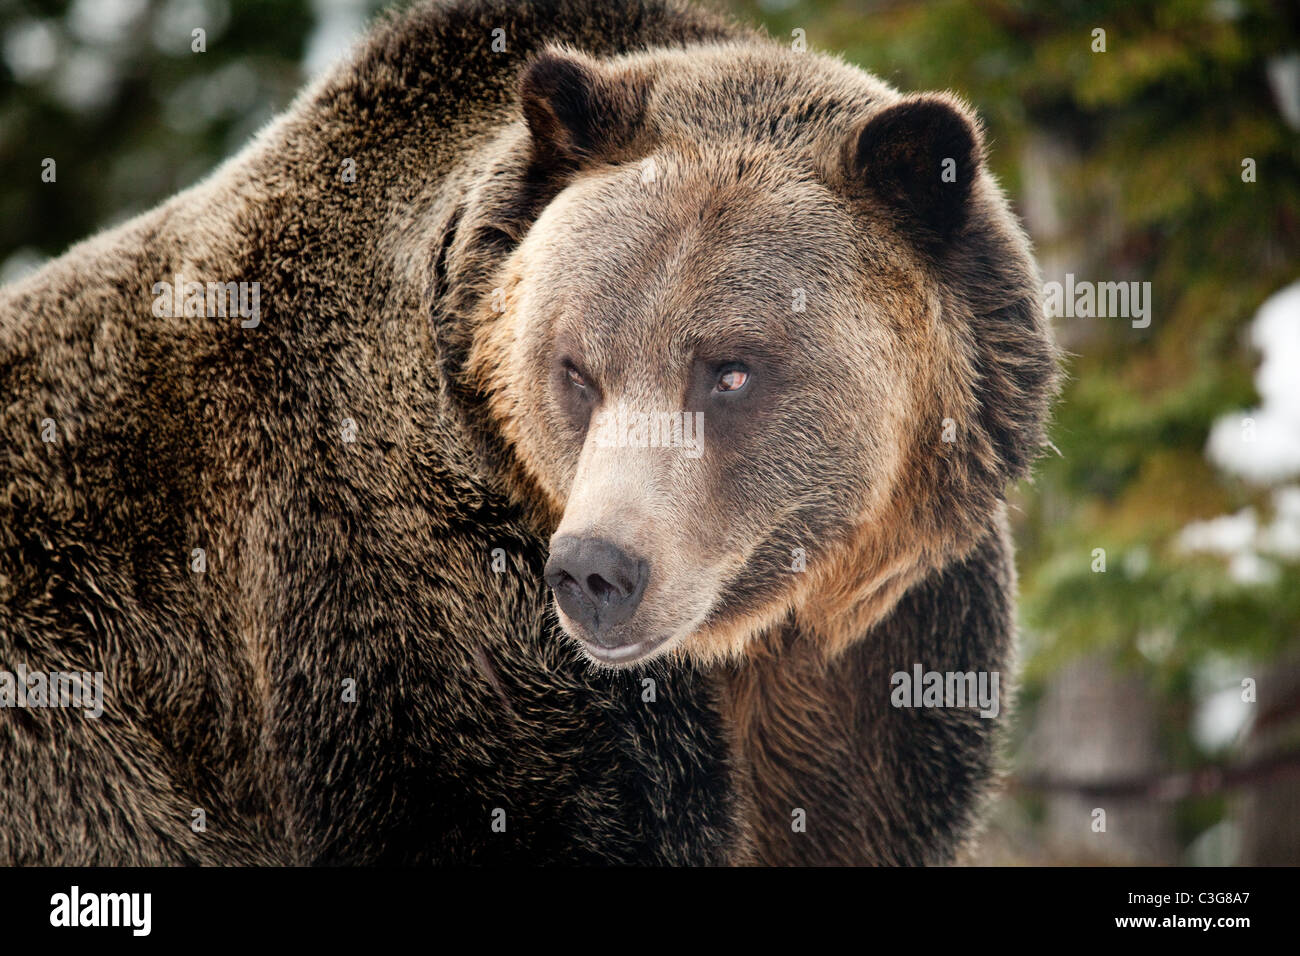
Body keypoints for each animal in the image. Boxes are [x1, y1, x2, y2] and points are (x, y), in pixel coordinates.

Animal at [0, 0, 1056, 865]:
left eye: (731, 370)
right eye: (576, 368)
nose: (599, 569)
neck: (751, 648)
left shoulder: (886, 663)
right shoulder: (417, 604)